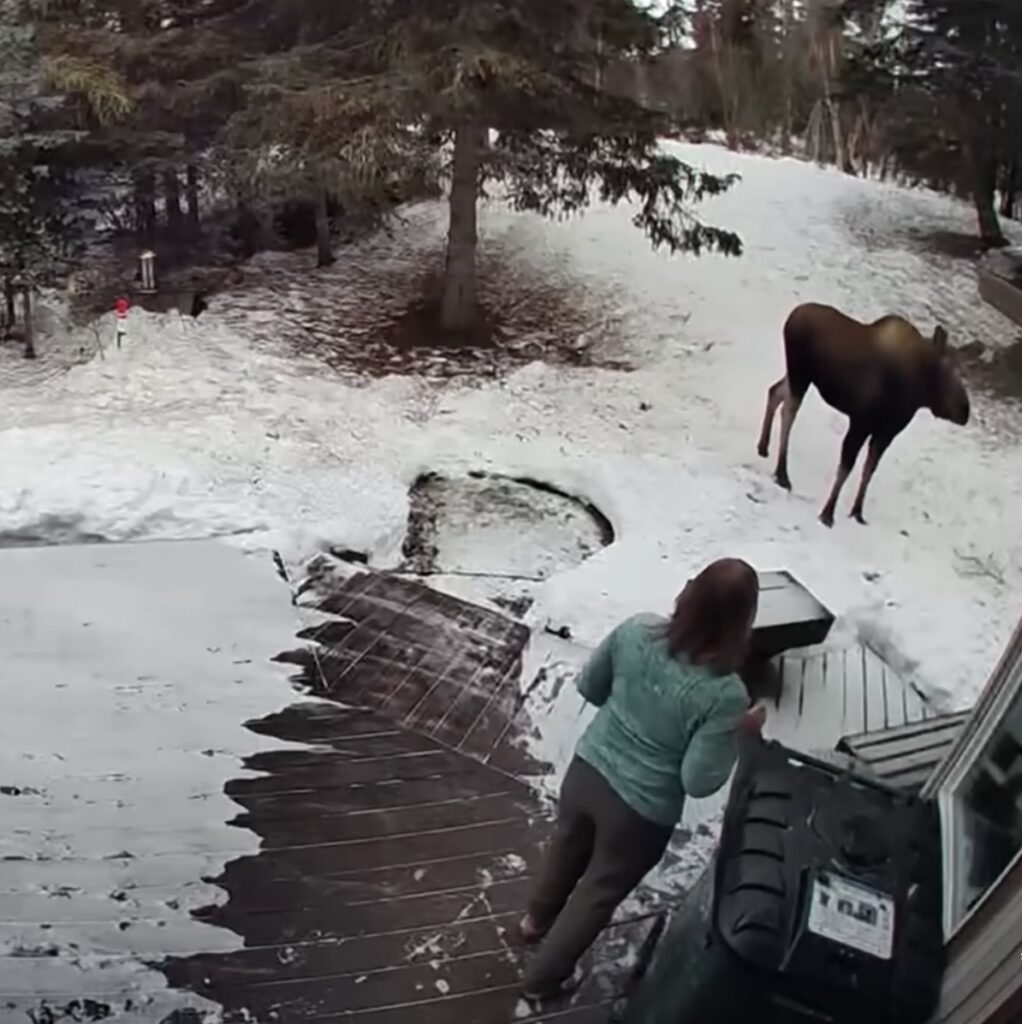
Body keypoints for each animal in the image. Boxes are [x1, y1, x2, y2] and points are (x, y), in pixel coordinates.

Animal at [757, 303, 970, 528]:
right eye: (947, 368)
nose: (964, 411)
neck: (915, 393)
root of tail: (792, 316)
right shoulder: (861, 423)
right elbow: (847, 467)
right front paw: (828, 513)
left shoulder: (886, 433)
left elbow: (869, 469)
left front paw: (857, 512)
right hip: (800, 374)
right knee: (788, 411)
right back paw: (782, 473)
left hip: (799, 376)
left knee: (775, 391)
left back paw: (763, 447)